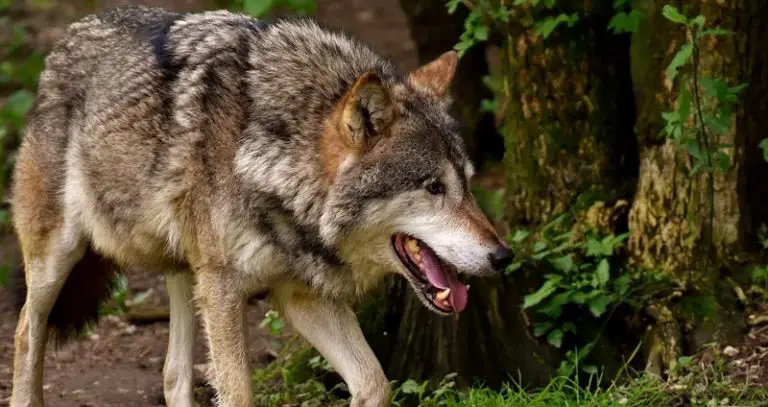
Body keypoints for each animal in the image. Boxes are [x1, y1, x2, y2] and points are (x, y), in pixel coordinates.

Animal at [8, 5, 513, 407]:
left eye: (467, 185)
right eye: (433, 187)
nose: (503, 256)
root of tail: (68, 36)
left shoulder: (300, 294)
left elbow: (374, 383)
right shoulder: (225, 290)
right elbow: (239, 395)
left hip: (186, 272)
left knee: (173, 376)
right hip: (60, 258)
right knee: (25, 331)